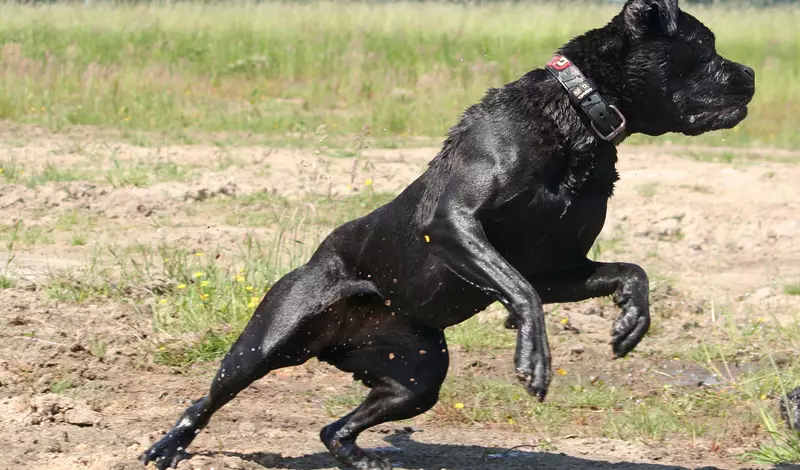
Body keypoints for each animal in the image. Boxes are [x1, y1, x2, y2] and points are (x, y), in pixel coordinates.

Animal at [142, 1, 756, 468]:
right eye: (705, 44)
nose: (750, 74)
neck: (576, 118)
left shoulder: (558, 268)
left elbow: (631, 271)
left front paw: (632, 320)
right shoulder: (455, 223)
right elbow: (521, 293)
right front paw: (533, 359)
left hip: (417, 376)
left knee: (334, 430)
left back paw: (363, 458)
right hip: (269, 339)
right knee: (206, 396)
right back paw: (167, 447)